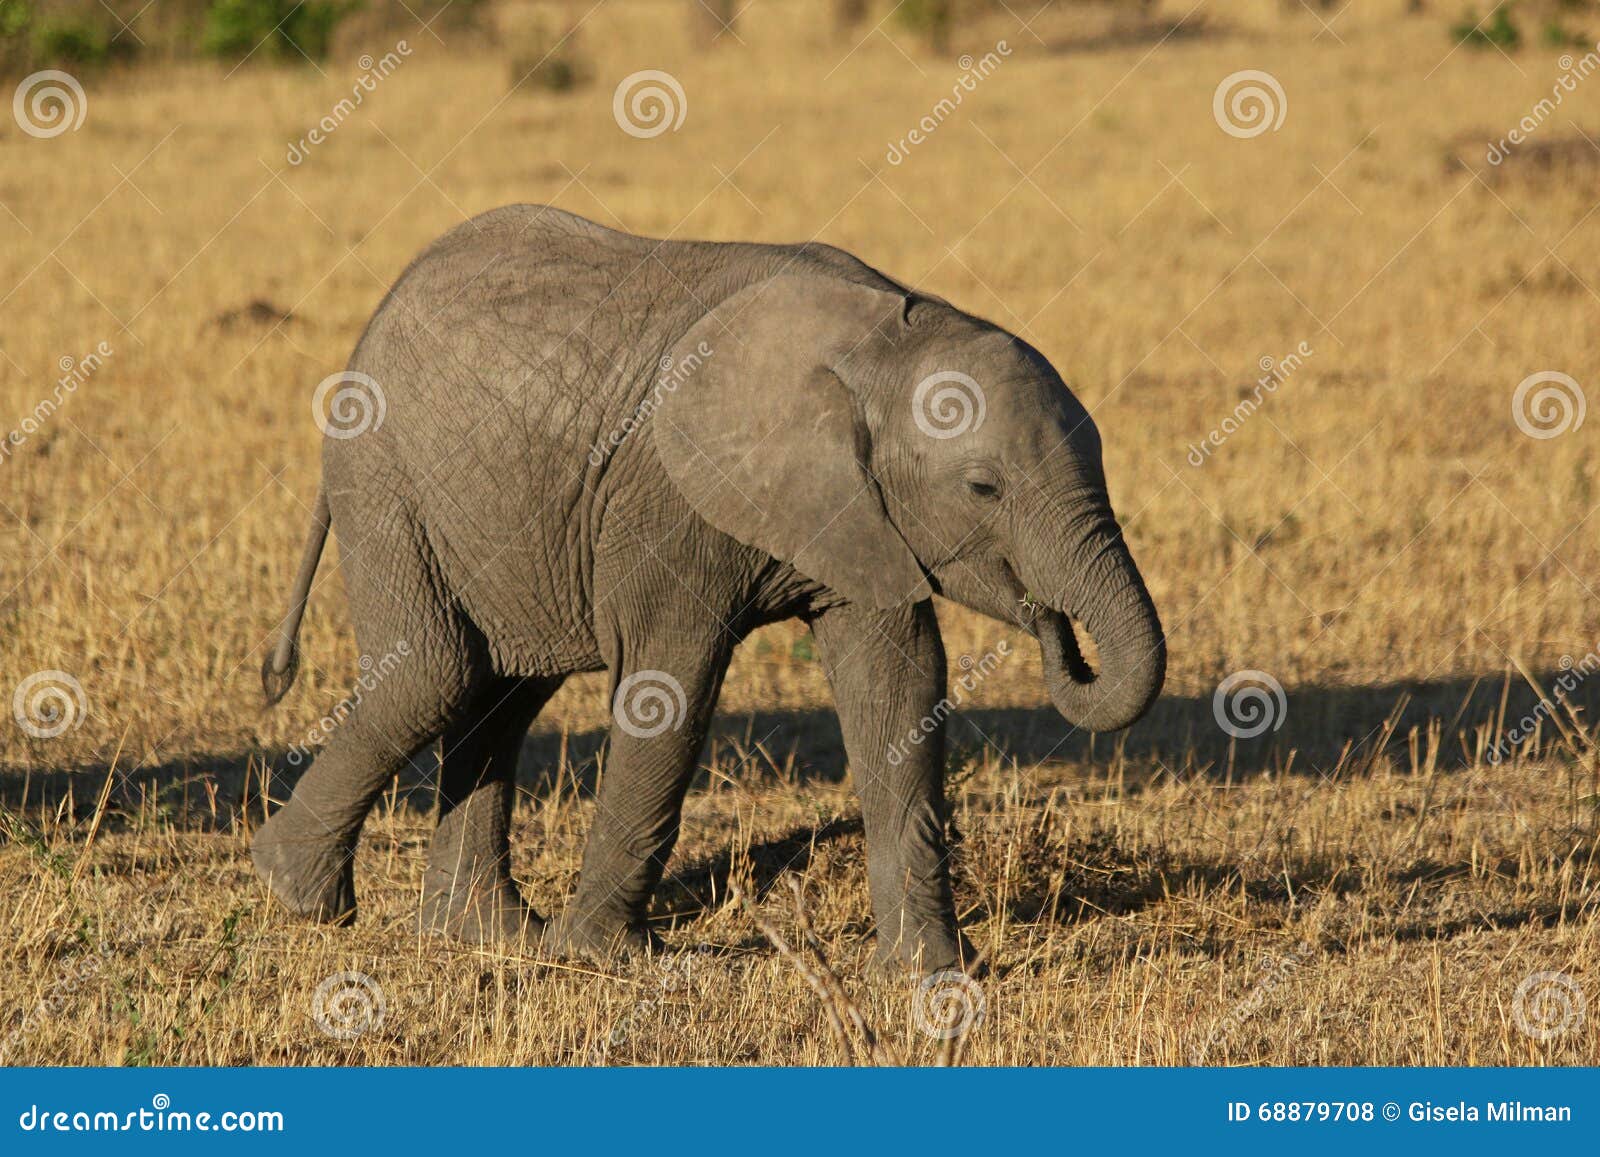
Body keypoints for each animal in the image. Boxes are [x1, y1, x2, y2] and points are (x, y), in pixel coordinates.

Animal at [250, 204, 1165, 973]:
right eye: (984, 488)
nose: (1053, 623)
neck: (881, 342)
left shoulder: (861, 510)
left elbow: (897, 689)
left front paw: (935, 974)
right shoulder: (667, 497)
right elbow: (672, 690)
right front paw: (616, 961)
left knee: (498, 691)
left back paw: (489, 934)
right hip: (383, 477)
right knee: (434, 674)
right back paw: (296, 893)